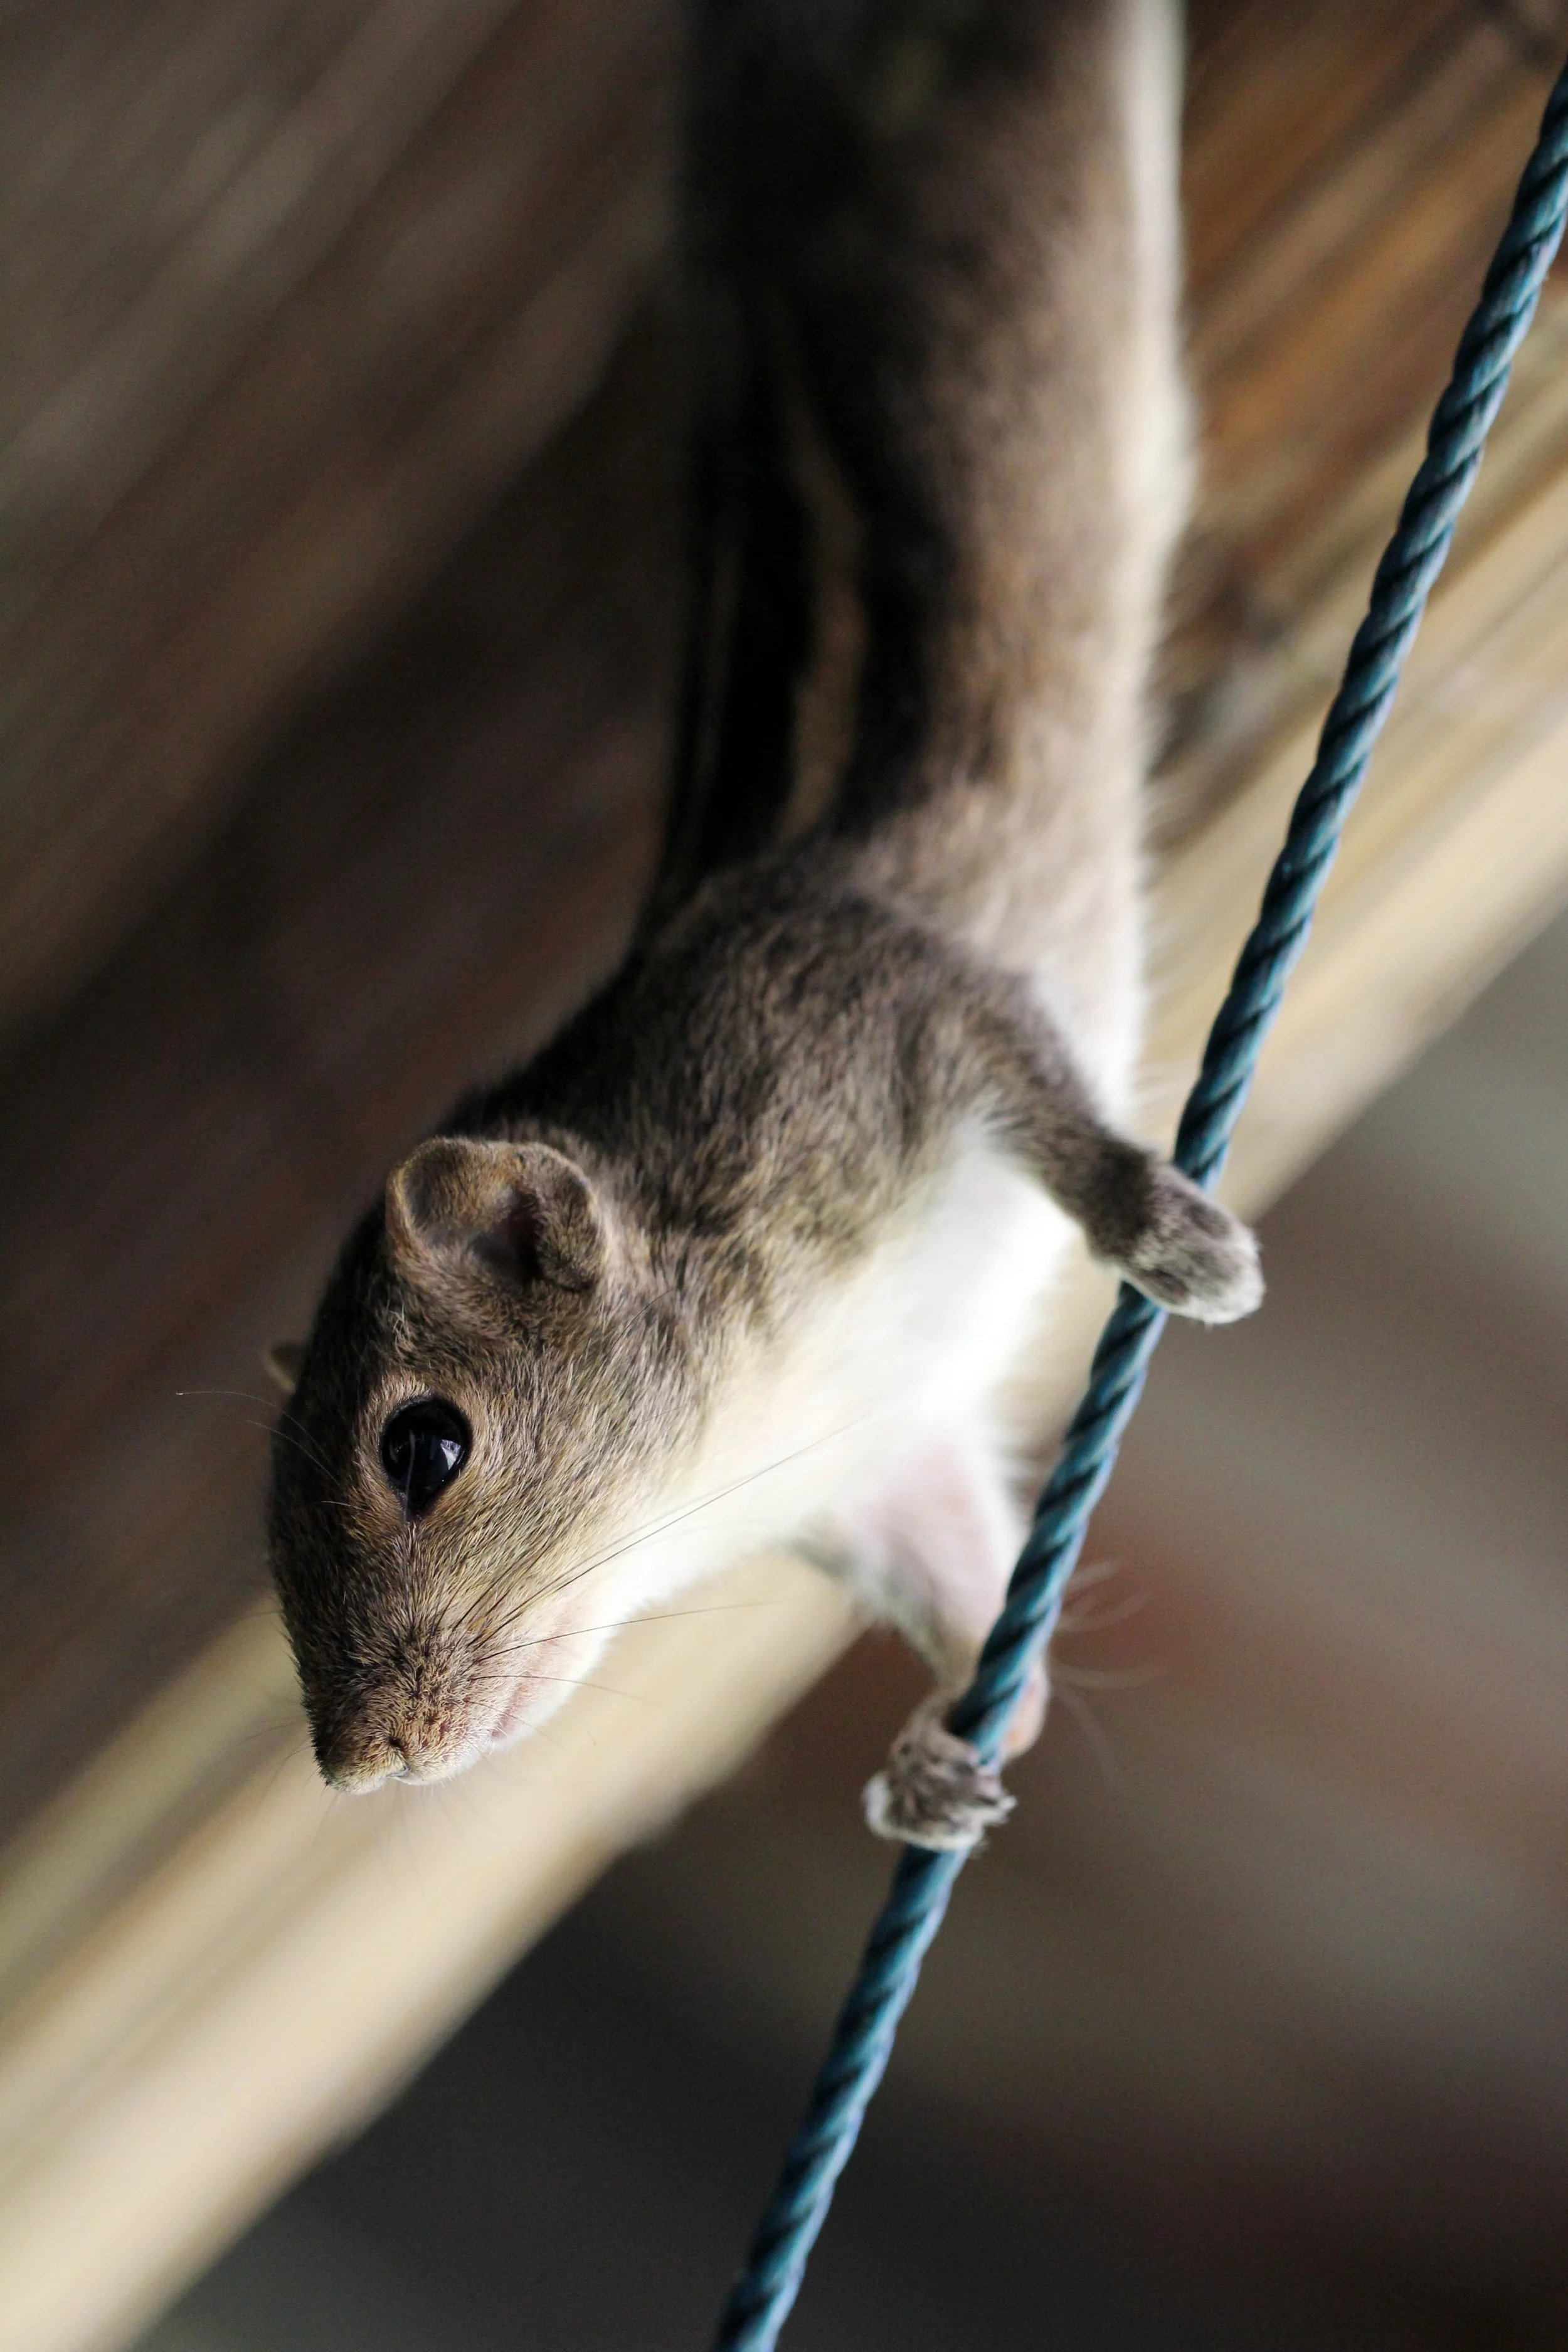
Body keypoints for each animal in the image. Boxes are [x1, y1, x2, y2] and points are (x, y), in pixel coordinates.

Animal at [267, 0, 1260, 1852]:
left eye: (419, 1446)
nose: (360, 1767)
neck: (757, 1415)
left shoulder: (880, 1005)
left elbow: (1035, 1081)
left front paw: (1172, 1237)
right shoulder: (887, 1463)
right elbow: (978, 1597)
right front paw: (938, 1757)